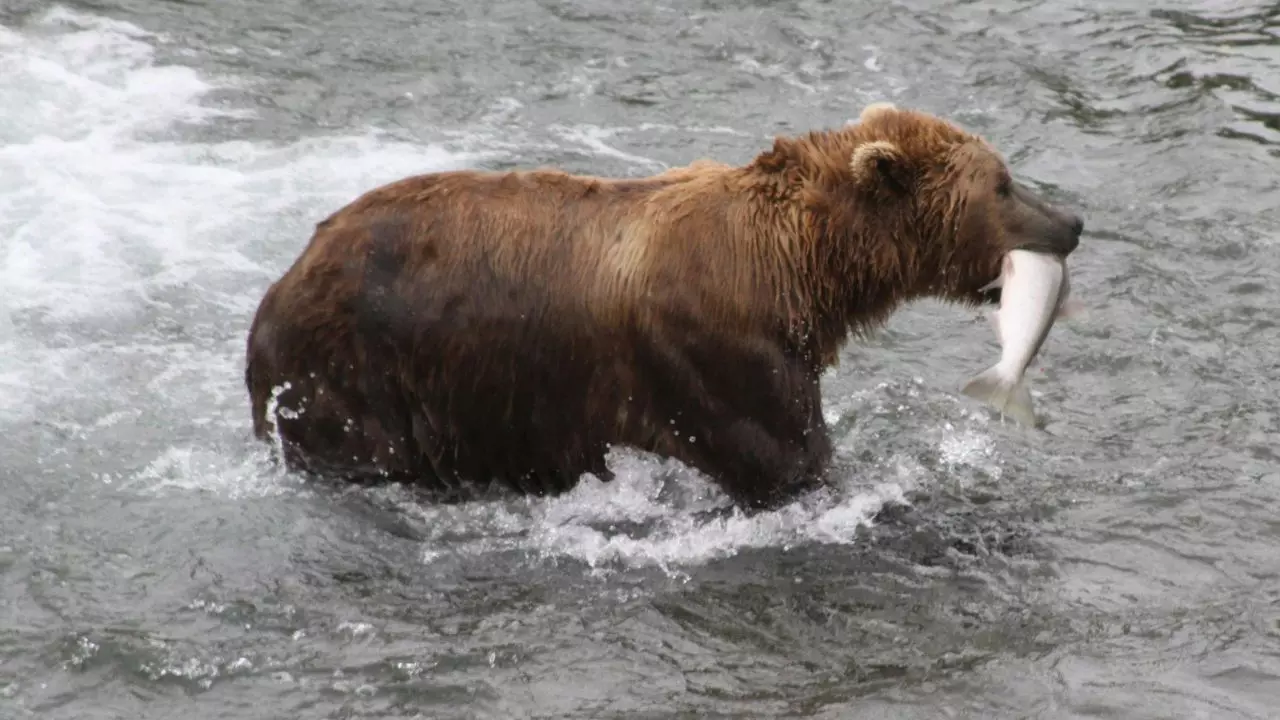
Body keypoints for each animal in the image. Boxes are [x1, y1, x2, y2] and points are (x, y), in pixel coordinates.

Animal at [240, 101, 1080, 507]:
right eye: (1003, 183)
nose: (1072, 221)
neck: (802, 270)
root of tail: (281, 282)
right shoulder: (718, 354)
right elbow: (789, 461)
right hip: (355, 370)